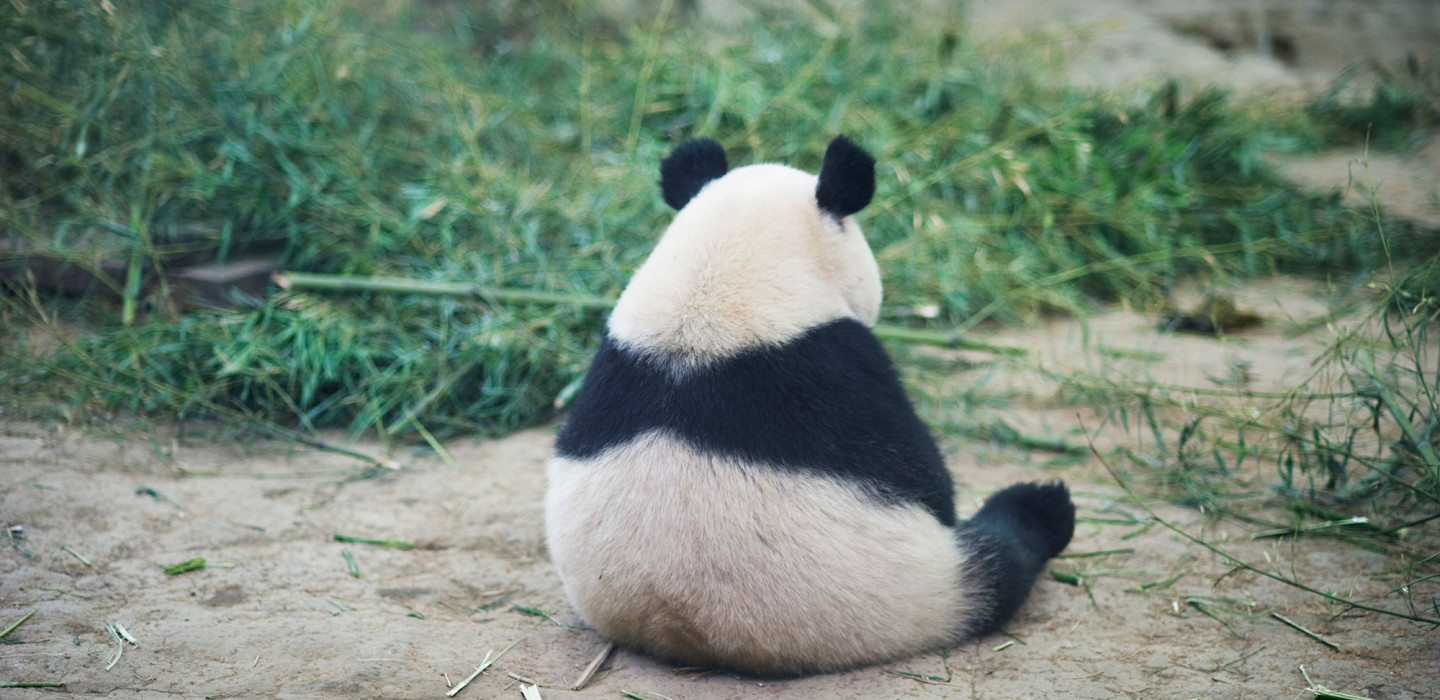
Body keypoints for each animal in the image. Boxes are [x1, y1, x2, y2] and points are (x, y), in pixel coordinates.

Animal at [545, 135, 1075, 677]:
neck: (715, 281)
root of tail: (683, 633)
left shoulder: (612, 360)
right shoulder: (841, 368)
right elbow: (925, 478)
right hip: (920, 587)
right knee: (1004, 559)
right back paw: (1043, 505)